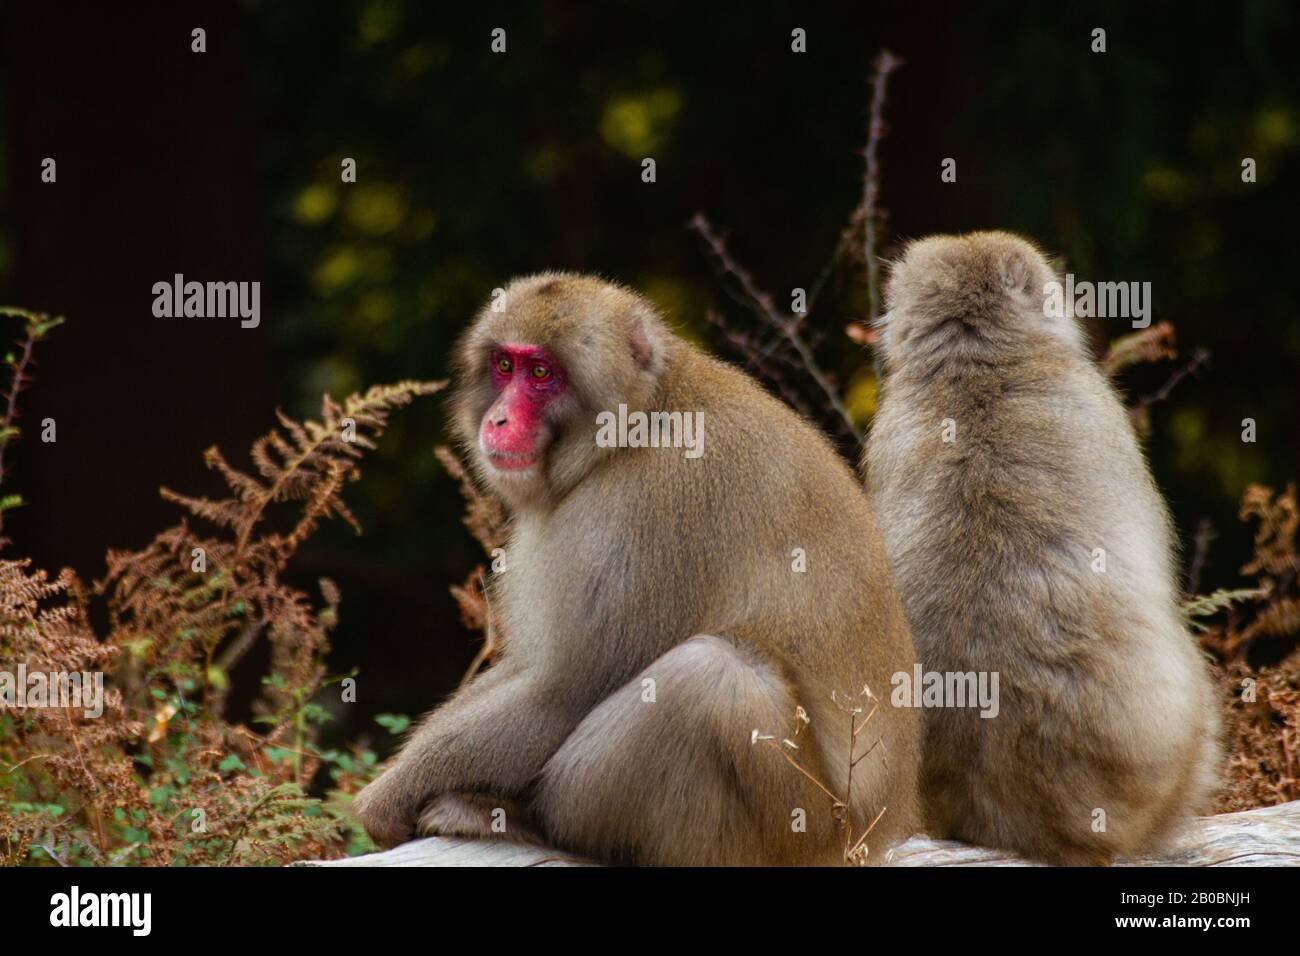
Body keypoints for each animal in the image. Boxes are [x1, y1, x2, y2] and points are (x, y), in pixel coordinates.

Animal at [353, 273, 922, 865]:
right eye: (505, 366)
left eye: (541, 373)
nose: (499, 419)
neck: (638, 421)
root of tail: (879, 830)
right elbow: (532, 668)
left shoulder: (644, 510)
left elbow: (564, 689)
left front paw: (384, 801)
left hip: (800, 831)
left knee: (711, 677)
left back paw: (529, 823)